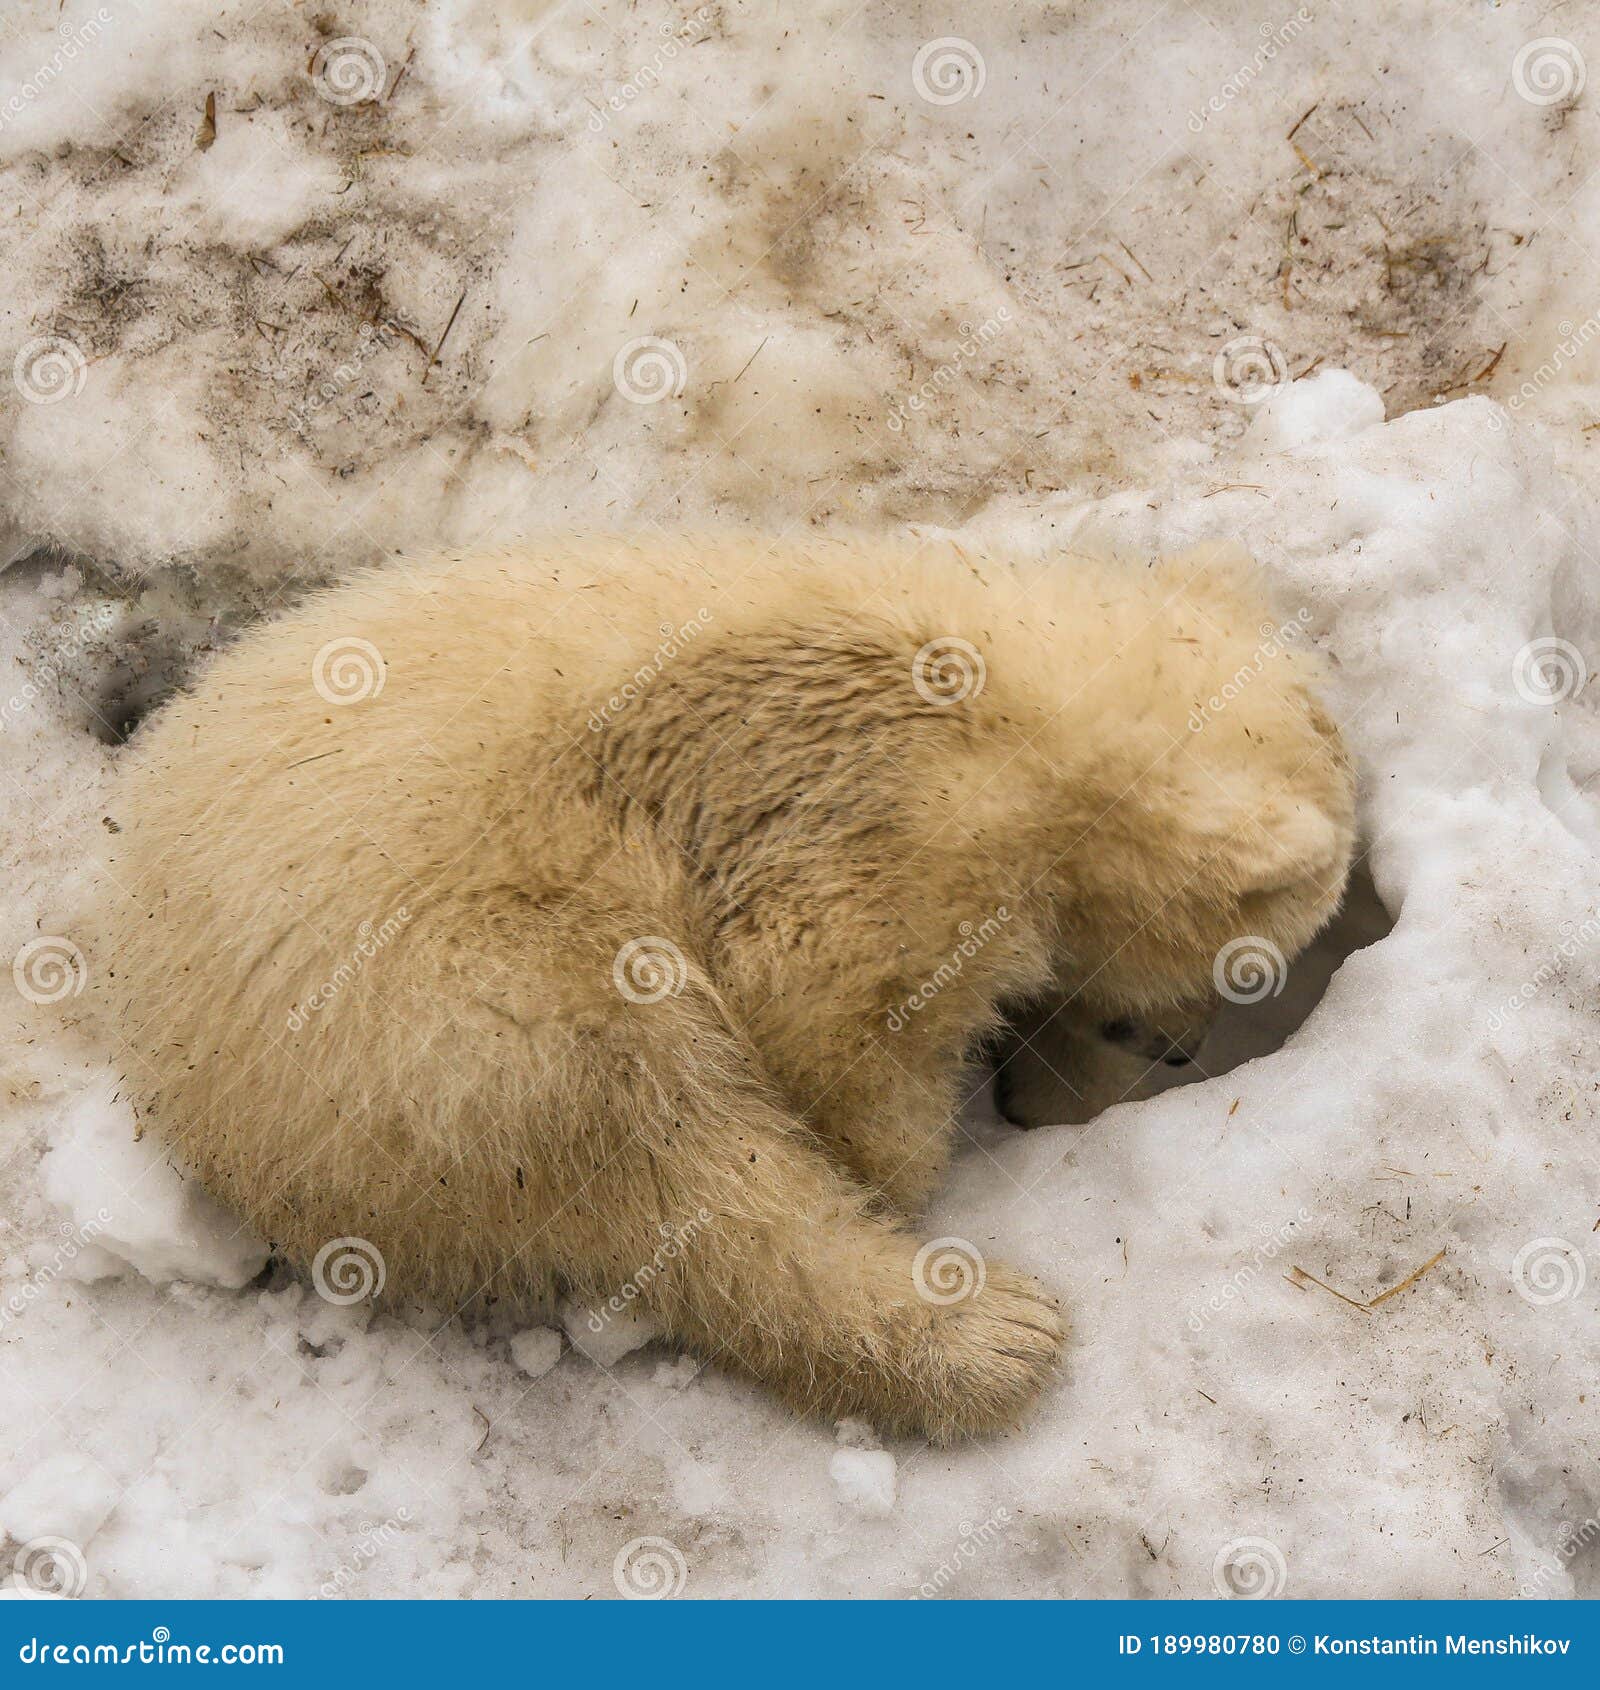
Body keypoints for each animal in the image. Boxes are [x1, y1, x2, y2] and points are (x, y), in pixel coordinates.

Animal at [95, 532, 1355, 1442]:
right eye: (1159, 1024)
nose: (1033, 1103)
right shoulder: (886, 803)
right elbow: (824, 1001)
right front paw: (899, 1162)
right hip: (444, 997)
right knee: (669, 1148)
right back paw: (992, 1336)